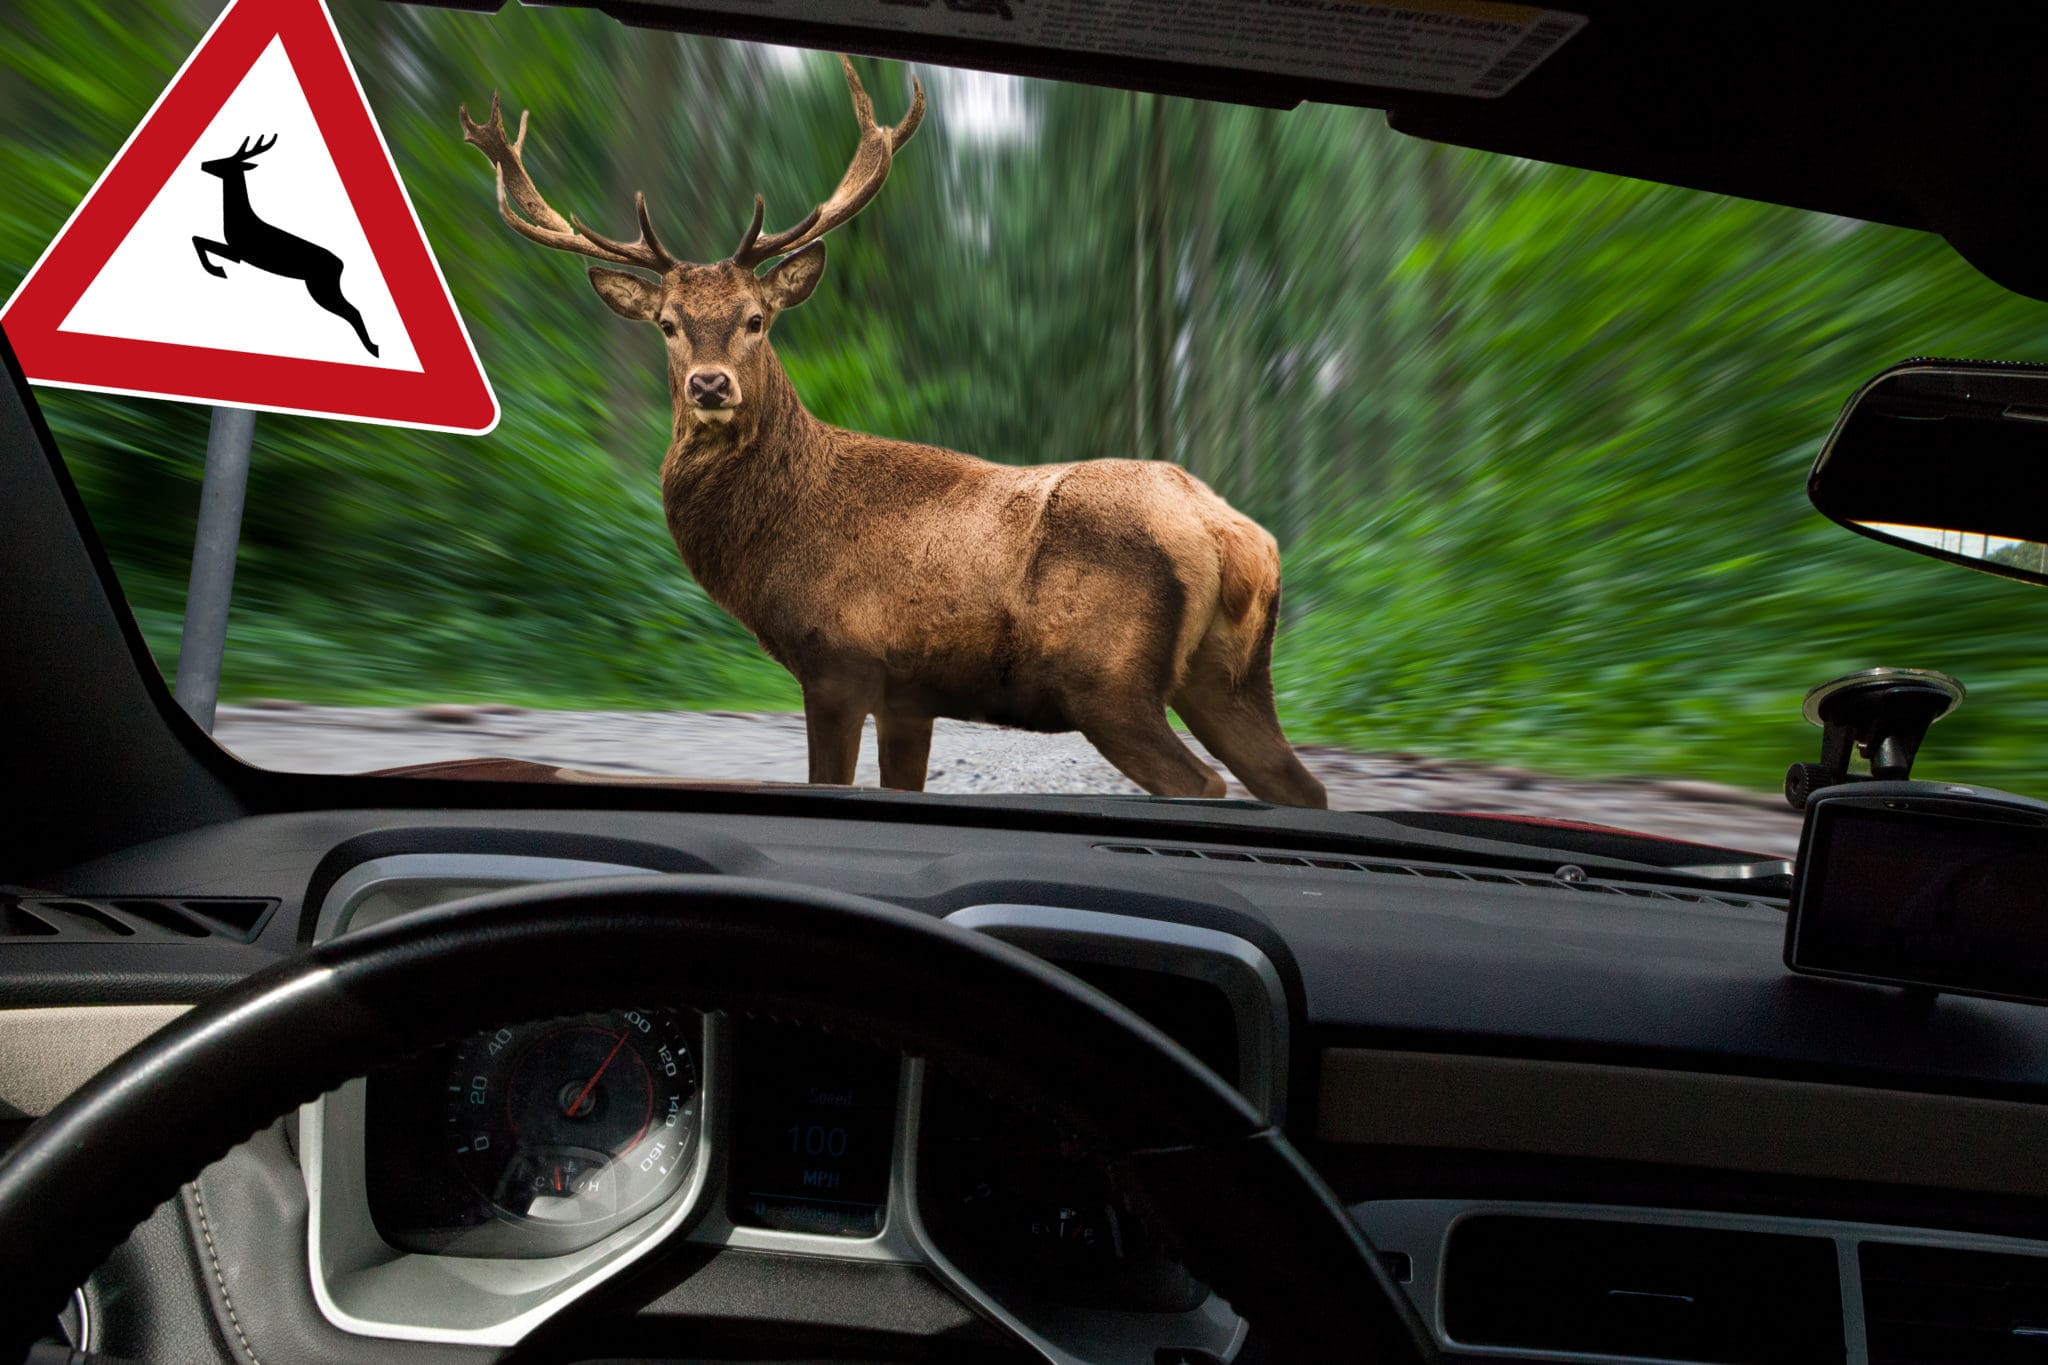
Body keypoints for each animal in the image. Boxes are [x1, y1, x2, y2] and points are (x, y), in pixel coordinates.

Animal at [193, 134, 379, 357]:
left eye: (226, 162)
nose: (204, 164)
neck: (239, 218)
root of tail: (341, 264)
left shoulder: (239, 252)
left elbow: (199, 240)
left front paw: (217, 269)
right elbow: (198, 239)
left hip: (321, 288)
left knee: (353, 311)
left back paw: (373, 349)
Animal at [459, 60, 1327, 807]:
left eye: (756, 318)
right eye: (668, 324)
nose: (710, 385)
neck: (775, 542)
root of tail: (1233, 535)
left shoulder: (838, 662)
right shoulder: (911, 696)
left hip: (1108, 677)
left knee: (1203, 782)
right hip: (1230, 675)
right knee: (1299, 783)